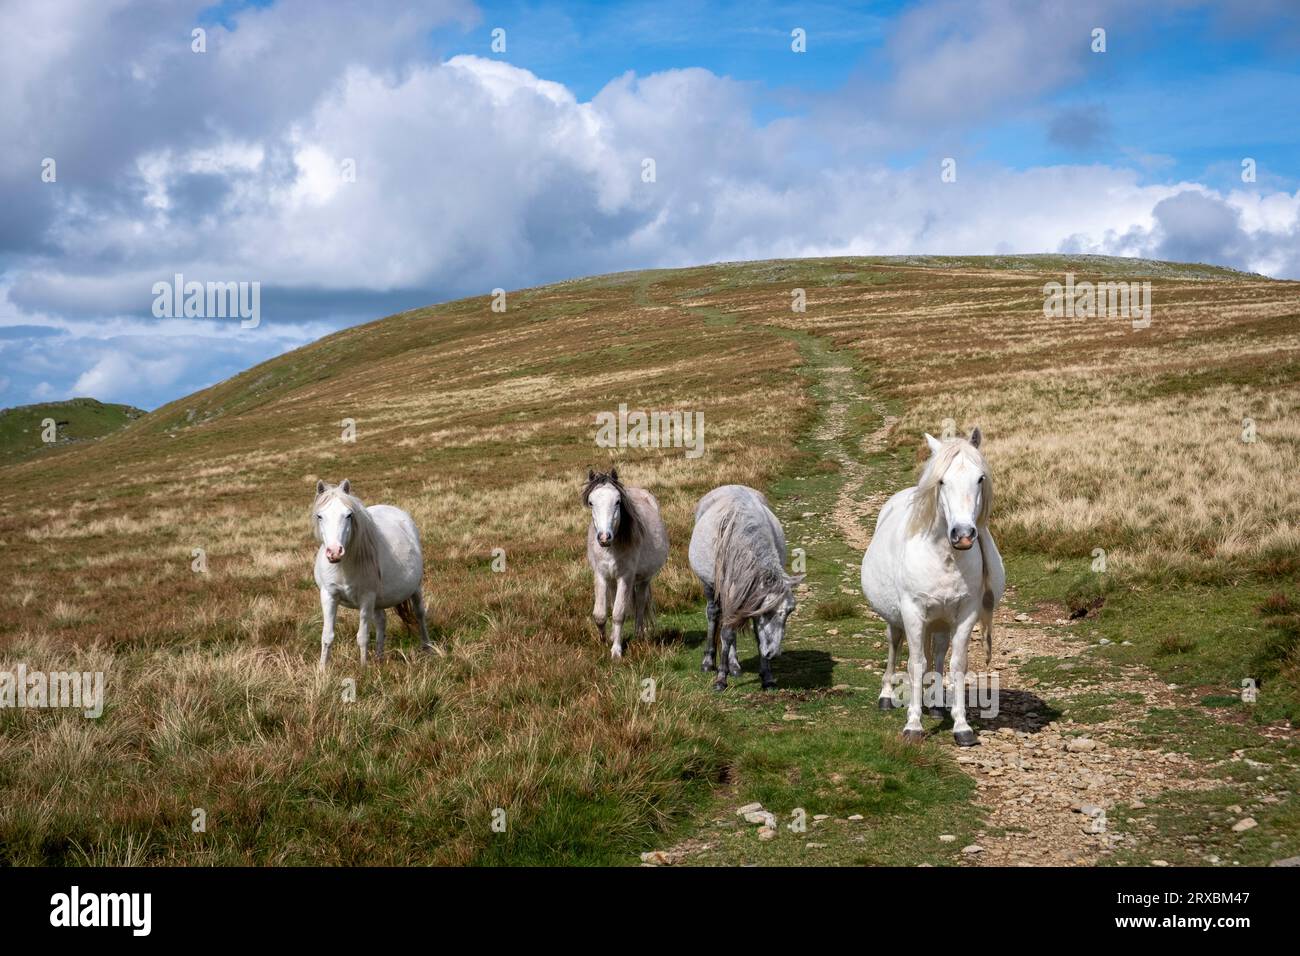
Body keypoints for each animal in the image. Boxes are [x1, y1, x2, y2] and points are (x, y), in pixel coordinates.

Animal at [311, 479, 433, 667]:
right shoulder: (329, 595)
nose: (335, 552)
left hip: (415, 588)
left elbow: (362, 637)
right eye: (320, 516)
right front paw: (322, 670)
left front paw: (363, 669)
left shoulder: (366, 598)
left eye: (349, 515)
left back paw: (427, 647)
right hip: (378, 601)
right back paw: (379, 657)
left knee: (419, 613)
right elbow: (327, 636)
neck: (344, 566)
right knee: (382, 621)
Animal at [583, 467, 669, 659]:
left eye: (617, 502)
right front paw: (604, 640)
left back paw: (639, 635)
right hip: (613, 580)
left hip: (643, 580)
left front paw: (616, 651)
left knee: (640, 604)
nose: (604, 537)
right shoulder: (600, 575)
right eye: (591, 502)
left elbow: (618, 613)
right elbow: (600, 614)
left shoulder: (626, 577)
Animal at [688, 485, 803, 691]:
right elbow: (726, 632)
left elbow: (754, 633)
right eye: (767, 612)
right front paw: (721, 679)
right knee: (714, 615)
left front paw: (767, 676)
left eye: (790, 611)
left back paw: (734, 664)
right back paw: (709, 662)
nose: (773, 653)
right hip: (710, 588)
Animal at [860, 428, 1005, 746]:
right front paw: (913, 726)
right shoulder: (913, 612)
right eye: (941, 481)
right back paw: (886, 696)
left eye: (980, 478)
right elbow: (915, 663)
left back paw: (937, 704)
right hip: (898, 620)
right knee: (895, 647)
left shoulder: (966, 614)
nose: (963, 535)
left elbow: (957, 664)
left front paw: (961, 726)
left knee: (937, 654)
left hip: (939, 621)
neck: (945, 558)